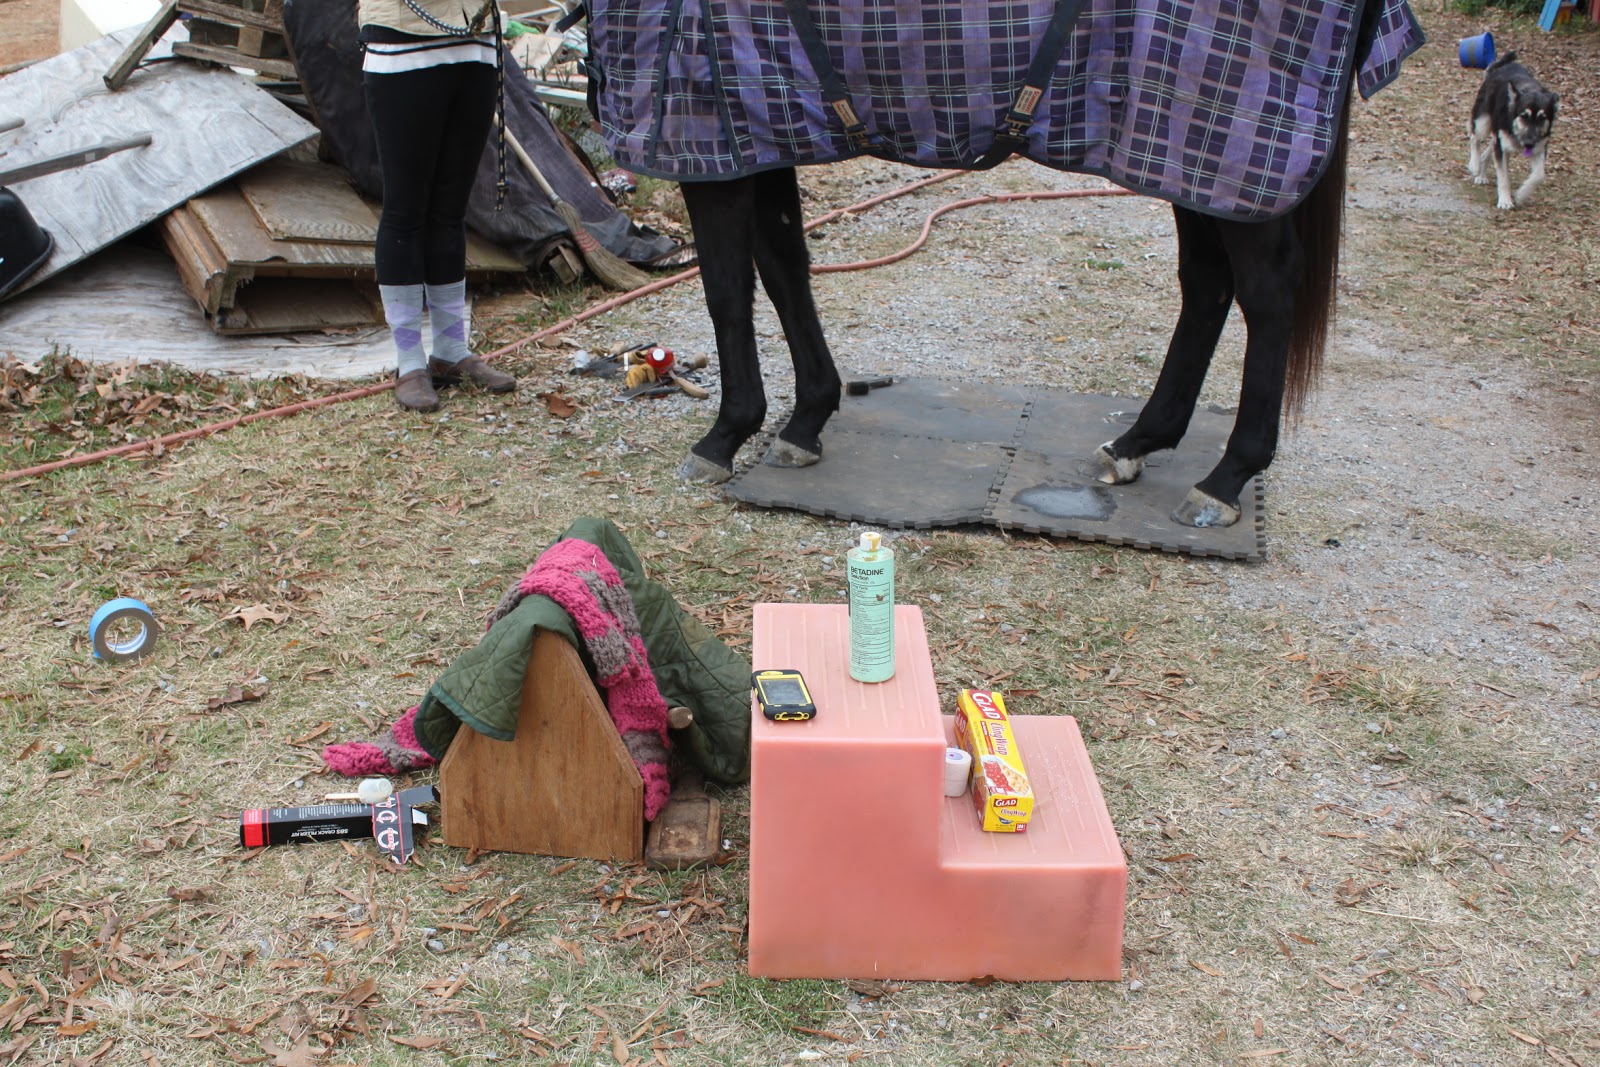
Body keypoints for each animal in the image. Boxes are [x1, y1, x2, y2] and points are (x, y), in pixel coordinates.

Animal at [588, 0, 1424, 528]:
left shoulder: (708, 145)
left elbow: (729, 292)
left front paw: (725, 437)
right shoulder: (762, 137)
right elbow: (788, 272)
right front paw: (808, 418)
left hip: (1227, 161)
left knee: (1267, 292)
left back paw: (1224, 479)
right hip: (1191, 163)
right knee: (1209, 284)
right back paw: (1138, 442)